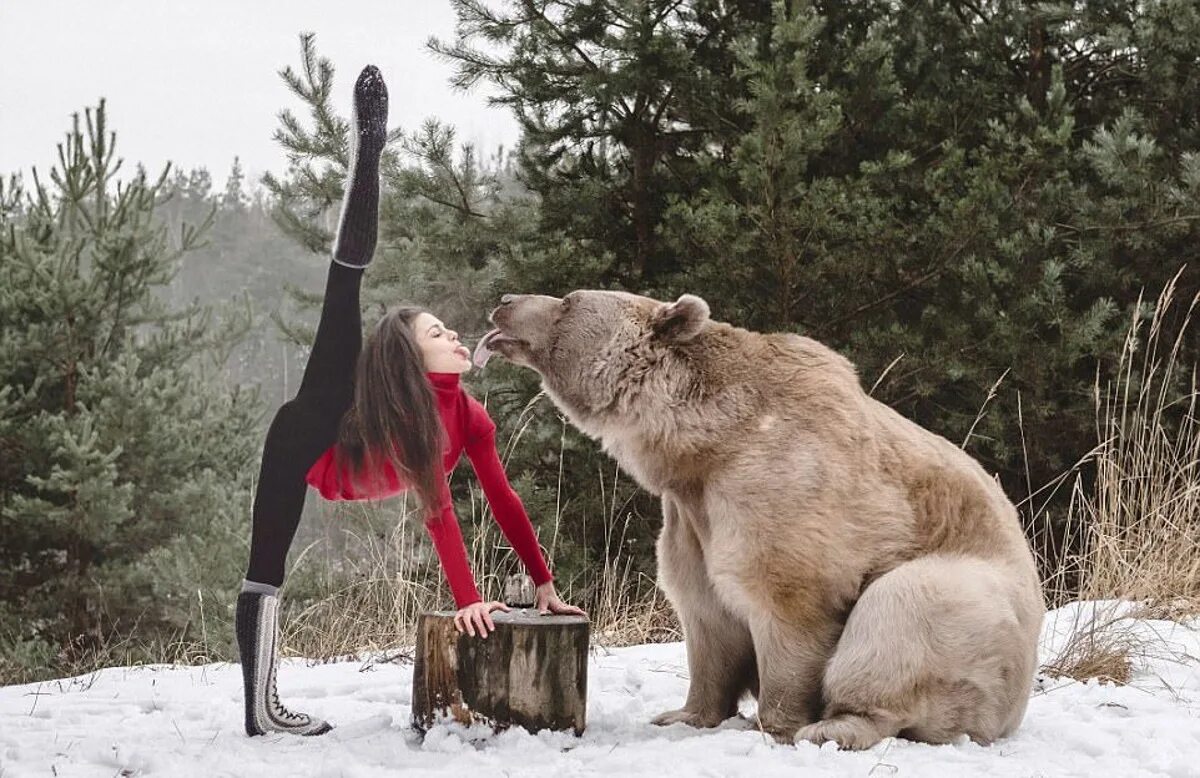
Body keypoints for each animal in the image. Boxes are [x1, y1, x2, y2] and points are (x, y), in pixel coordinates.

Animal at [474, 290, 1045, 749]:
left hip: (975, 606)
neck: (704, 444)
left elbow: (788, 599)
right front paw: (683, 714)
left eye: (569, 301)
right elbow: (704, 611)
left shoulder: (780, 481)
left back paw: (836, 725)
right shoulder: (691, 515)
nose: (504, 300)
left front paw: (774, 723)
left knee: (904, 612)